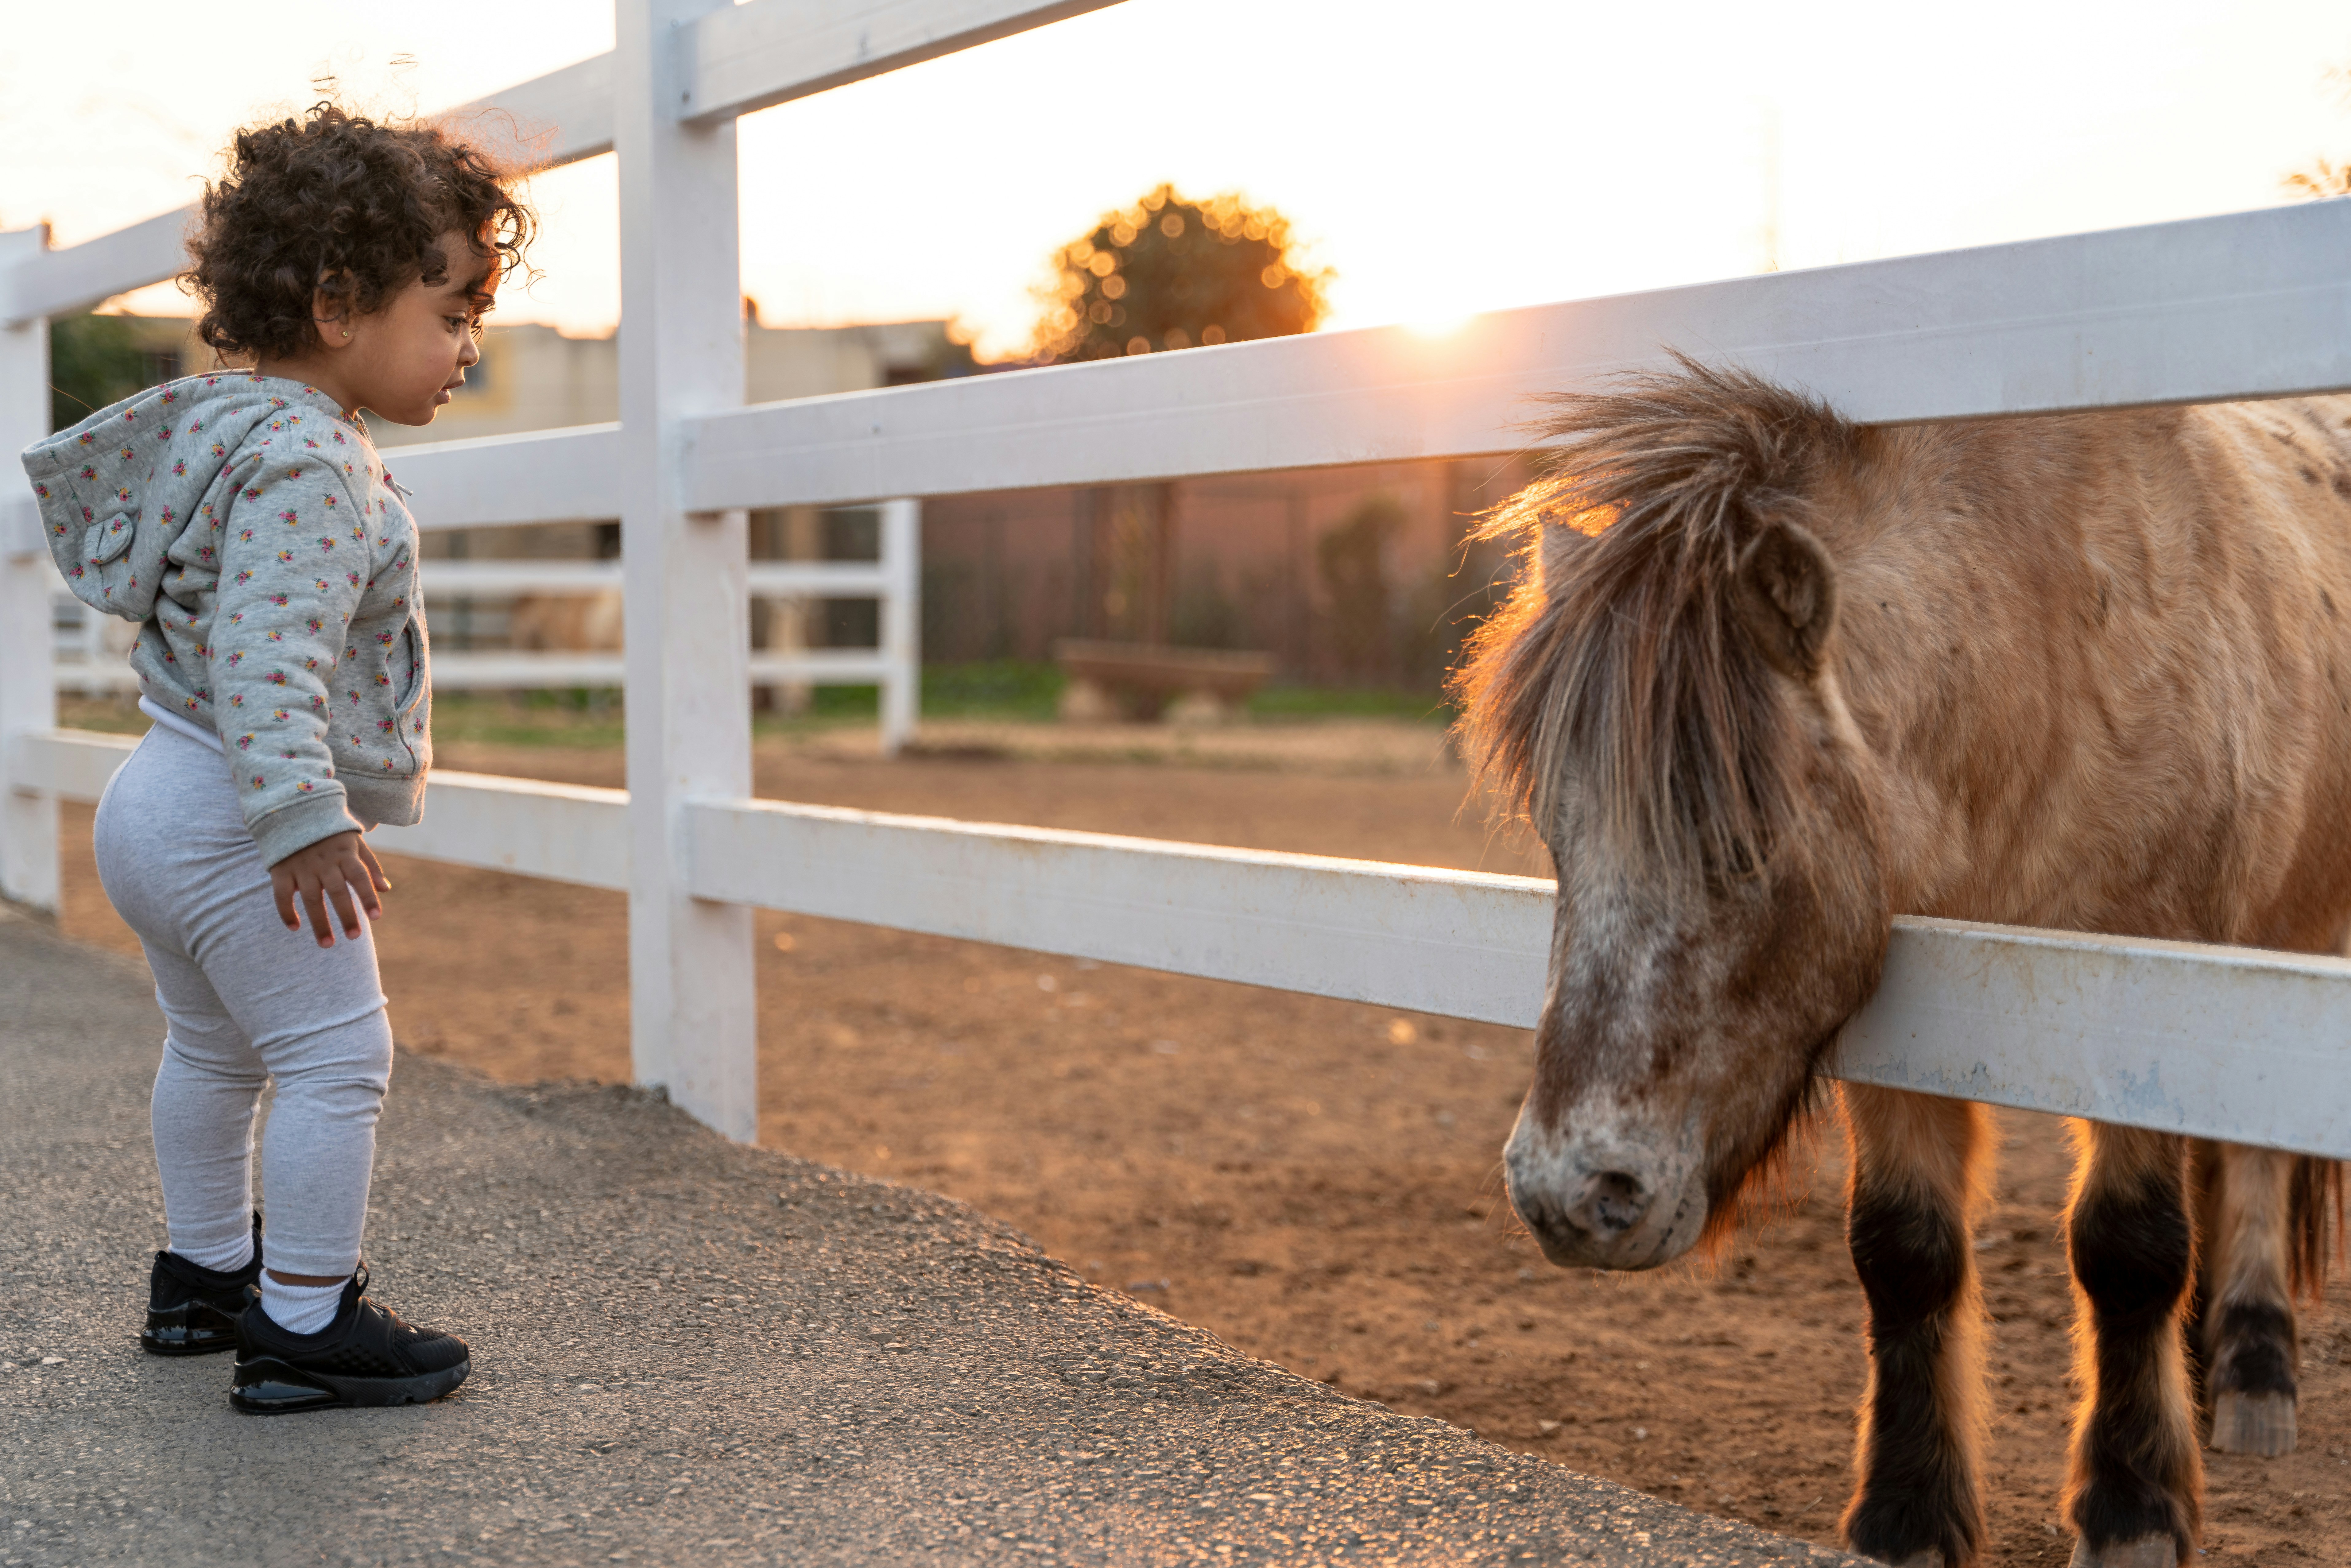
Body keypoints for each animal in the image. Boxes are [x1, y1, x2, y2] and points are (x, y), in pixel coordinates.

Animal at [1450, 362, 2346, 1568]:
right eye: (1556, 837)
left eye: (1746, 842)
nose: (1570, 1195)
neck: (2057, 651)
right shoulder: (1905, 1010)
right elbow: (1903, 1248)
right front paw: (1908, 1514)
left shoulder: (2143, 991)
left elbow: (2127, 1246)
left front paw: (2132, 1508)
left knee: (2255, 1157)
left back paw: (2251, 1363)